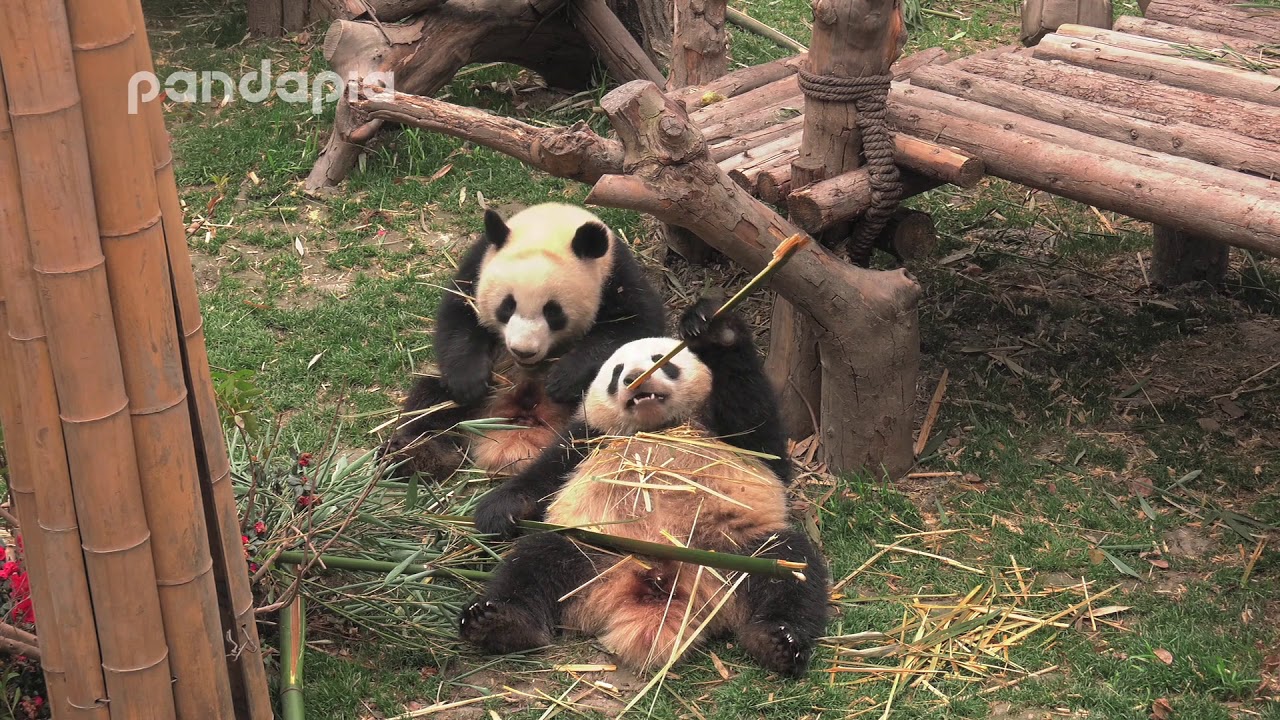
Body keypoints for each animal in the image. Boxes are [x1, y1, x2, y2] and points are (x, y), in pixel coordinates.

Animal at [381, 203, 666, 481]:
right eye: (507, 306)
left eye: (553, 312)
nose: (523, 351)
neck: (550, 224)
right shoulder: (477, 264)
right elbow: (458, 317)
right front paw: (469, 383)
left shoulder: (618, 274)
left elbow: (636, 327)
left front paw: (562, 379)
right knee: (428, 403)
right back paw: (414, 455)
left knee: (579, 442)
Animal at [458, 299, 829, 677]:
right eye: (616, 371)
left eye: (661, 361)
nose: (634, 378)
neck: (658, 428)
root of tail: (662, 585)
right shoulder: (587, 440)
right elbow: (545, 477)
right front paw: (498, 513)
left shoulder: (726, 432)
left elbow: (758, 434)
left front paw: (715, 330)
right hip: (595, 547)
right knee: (535, 560)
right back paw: (497, 621)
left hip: (732, 547)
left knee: (790, 569)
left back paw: (777, 641)